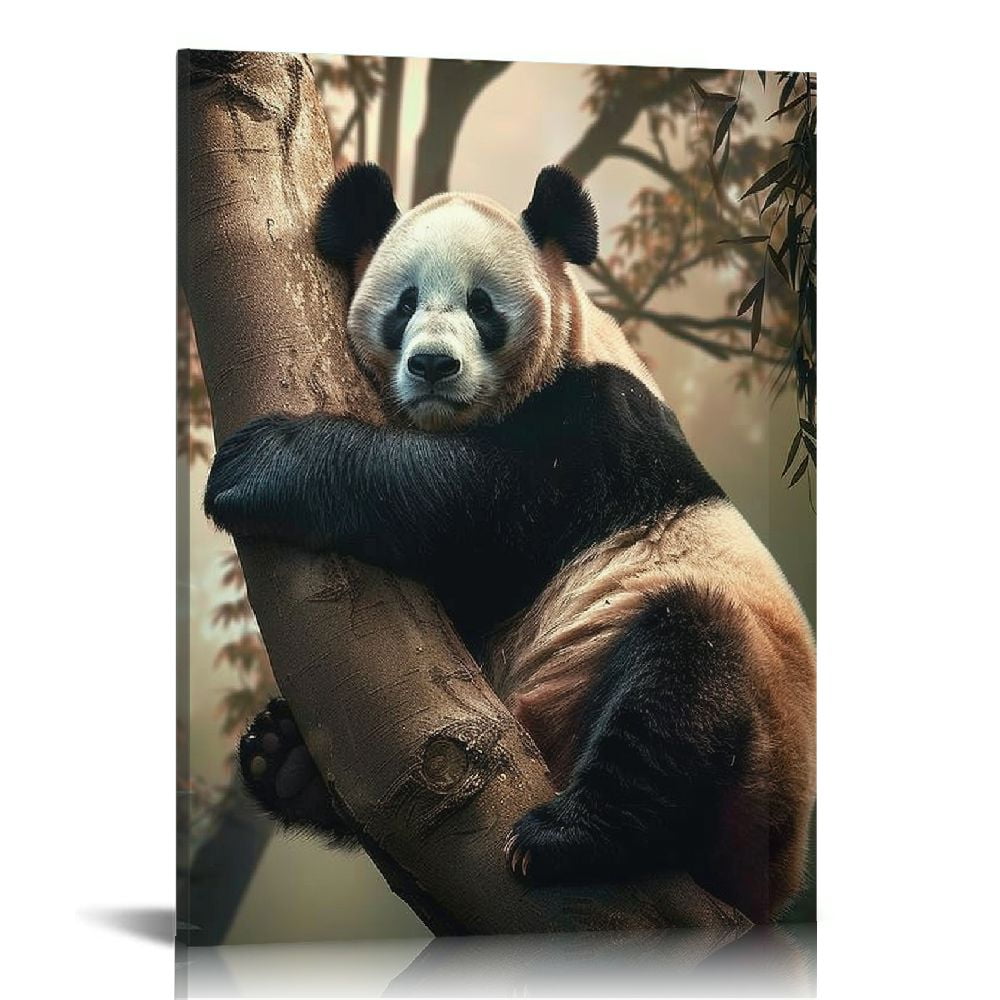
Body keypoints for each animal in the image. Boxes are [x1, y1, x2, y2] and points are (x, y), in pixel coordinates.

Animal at [205, 163, 816, 923]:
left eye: (482, 306)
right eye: (404, 303)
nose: (434, 366)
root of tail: (769, 889)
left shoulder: (595, 431)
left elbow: (464, 505)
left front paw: (256, 466)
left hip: (756, 742)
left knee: (686, 676)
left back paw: (570, 835)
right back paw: (284, 762)